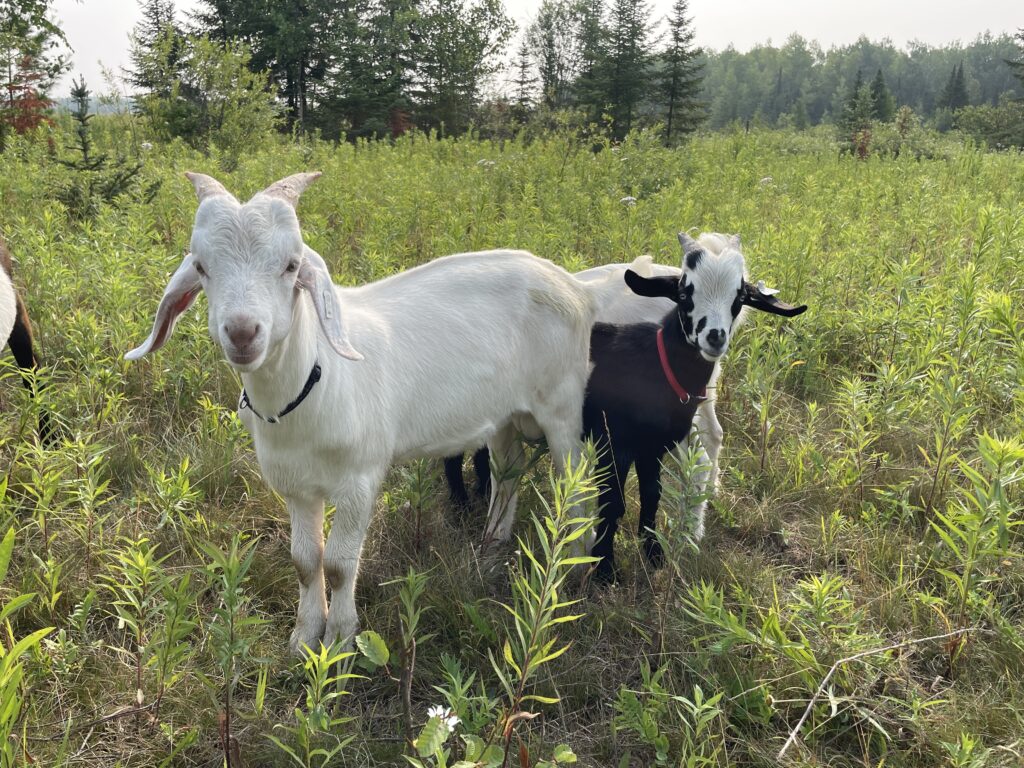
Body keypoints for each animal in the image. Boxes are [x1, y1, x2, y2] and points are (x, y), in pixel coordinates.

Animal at [126, 171, 596, 653]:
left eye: (292, 265)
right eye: (202, 268)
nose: (242, 333)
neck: (315, 384)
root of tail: (575, 287)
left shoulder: (360, 480)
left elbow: (337, 563)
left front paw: (338, 641)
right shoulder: (294, 486)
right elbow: (304, 559)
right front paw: (304, 636)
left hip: (562, 404)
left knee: (576, 487)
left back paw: (571, 573)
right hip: (502, 415)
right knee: (508, 472)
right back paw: (491, 550)